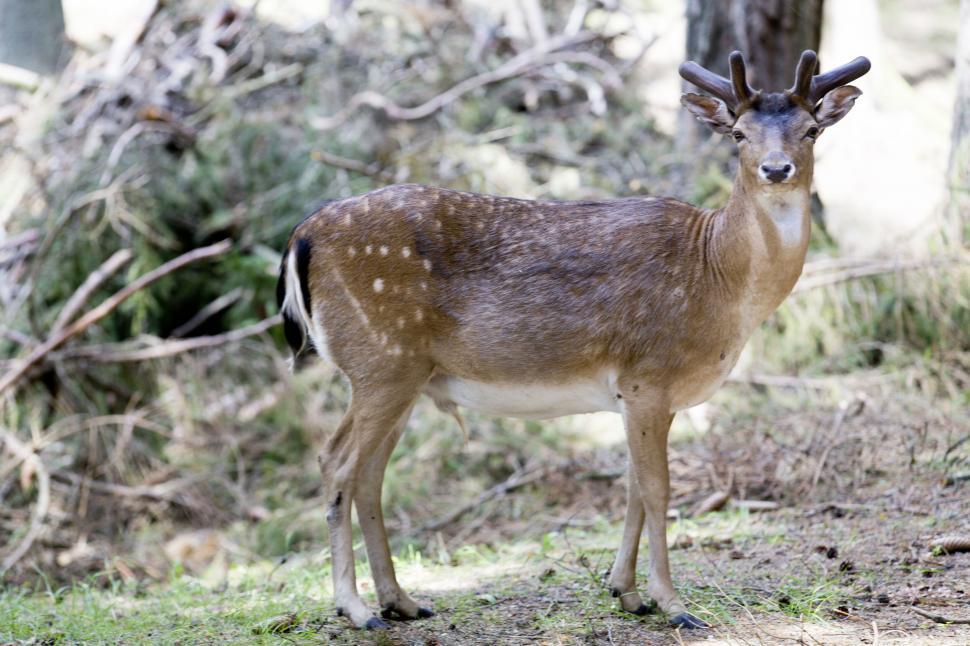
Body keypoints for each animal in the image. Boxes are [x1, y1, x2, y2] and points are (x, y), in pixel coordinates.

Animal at [276, 49, 870, 630]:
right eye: (739, 134)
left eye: (811, 129)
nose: (776, 168)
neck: (717, 277)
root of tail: (301, 237)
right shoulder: (648, 375)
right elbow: (658, 488)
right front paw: (674, 604)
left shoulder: (640, 395)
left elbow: (632, 487)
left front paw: (627, 593)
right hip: (381, 360)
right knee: (337, 463)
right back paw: (355, 609)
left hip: (405, 375)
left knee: (370, 473)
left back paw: (400, 601)